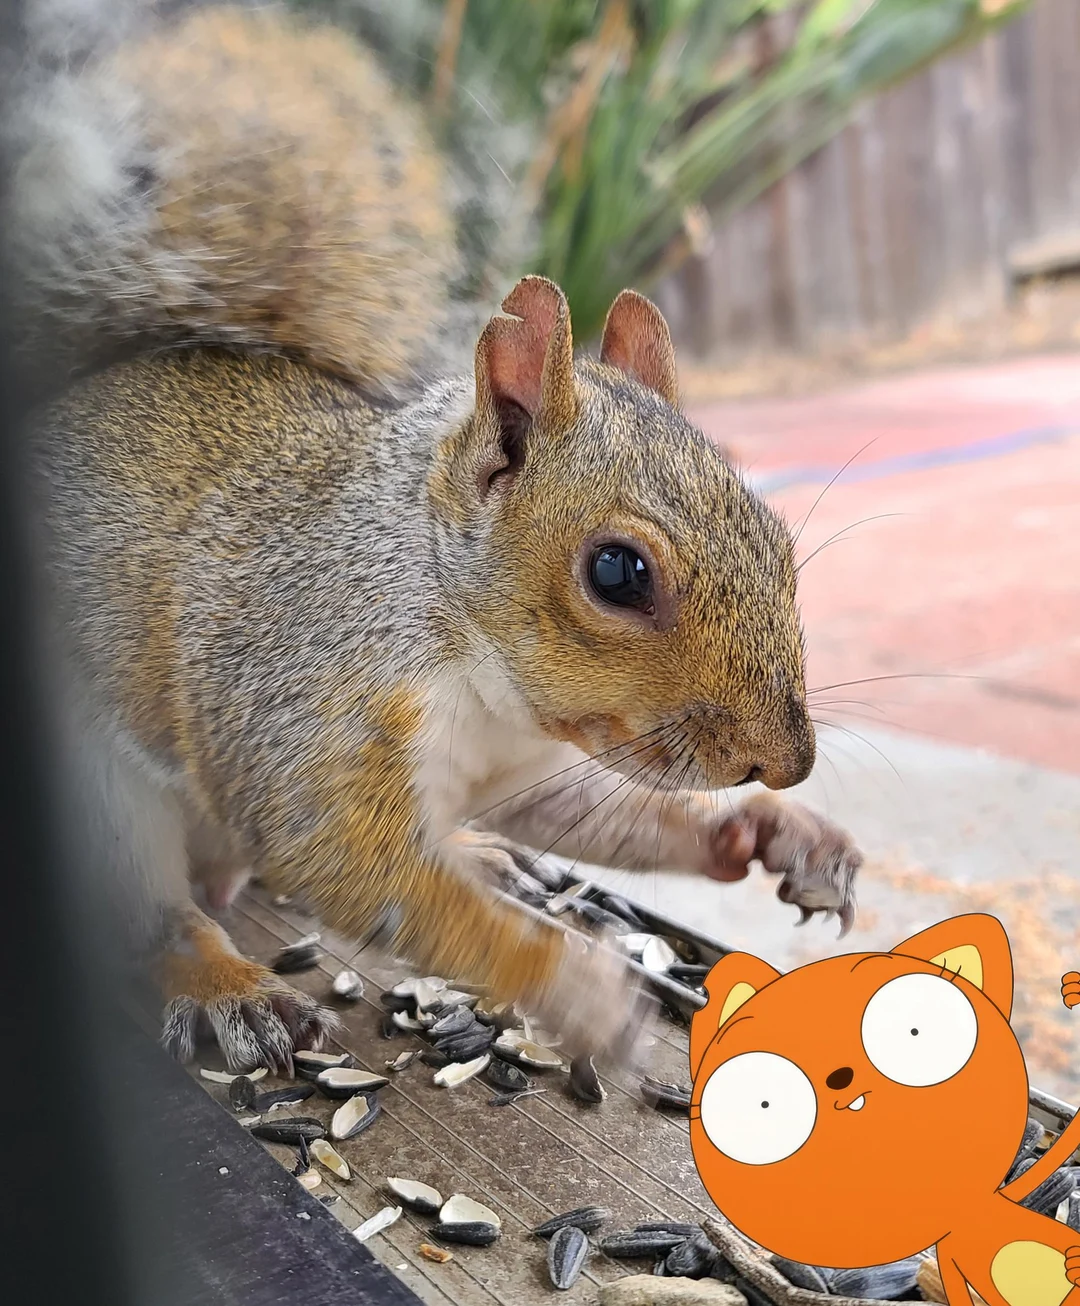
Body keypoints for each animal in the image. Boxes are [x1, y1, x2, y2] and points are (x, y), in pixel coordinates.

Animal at [9, 0, 863, 1071]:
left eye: (778, 539)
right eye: (618, 571)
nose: (784, 761)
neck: (483, 679)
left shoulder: (523, 770)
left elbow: (602, 818)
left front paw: (773, 832)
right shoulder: (303, 703)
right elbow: (356, 868)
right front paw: (576, 987)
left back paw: (477, 853)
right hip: (95, 794)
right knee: (152, 915)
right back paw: (224, 984)